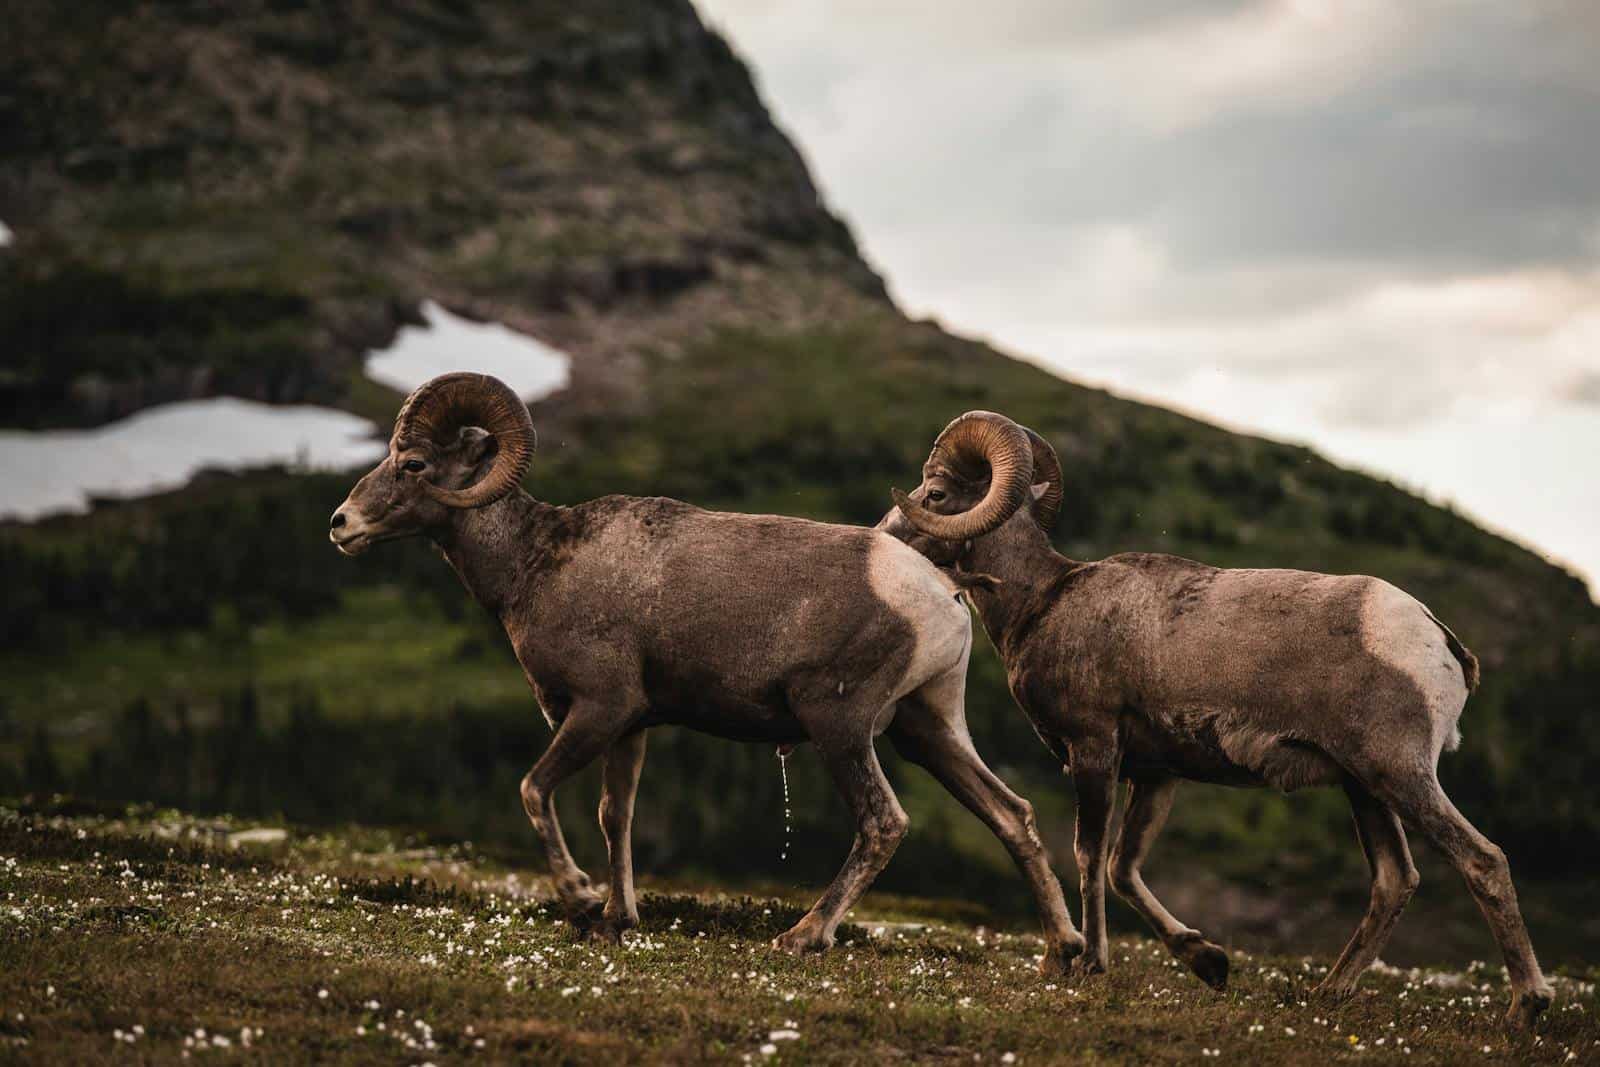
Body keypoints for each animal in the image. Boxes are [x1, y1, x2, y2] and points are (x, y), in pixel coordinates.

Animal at [328, 373, 1083, 966]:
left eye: (414, 464)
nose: (341, 524)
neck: (535, 563)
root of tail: (940, 593)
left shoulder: (597, 708)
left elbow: (534, 788)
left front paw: (580, 903)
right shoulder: (631, 727)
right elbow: (615, 814)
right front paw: (617, 920)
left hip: (839, 725)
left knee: (883, 822)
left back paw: (802, 936)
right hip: (928, 730)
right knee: (1011, 814)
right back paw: (1064, 948)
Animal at [877, 410, 1554, 1030]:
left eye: (934, 495)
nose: (881, 538)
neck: (1043, 600)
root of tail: (1439, 640)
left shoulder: (1095, 751)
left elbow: (1090, 856)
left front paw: (1090, 965)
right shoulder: (1156, 774)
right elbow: (1123, 868)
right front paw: (1208, 961)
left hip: (1400, 775)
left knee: (1483, 861)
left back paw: (1527, 1006)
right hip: (1365, 788)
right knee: (1394, 880)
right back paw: (1328, 993)